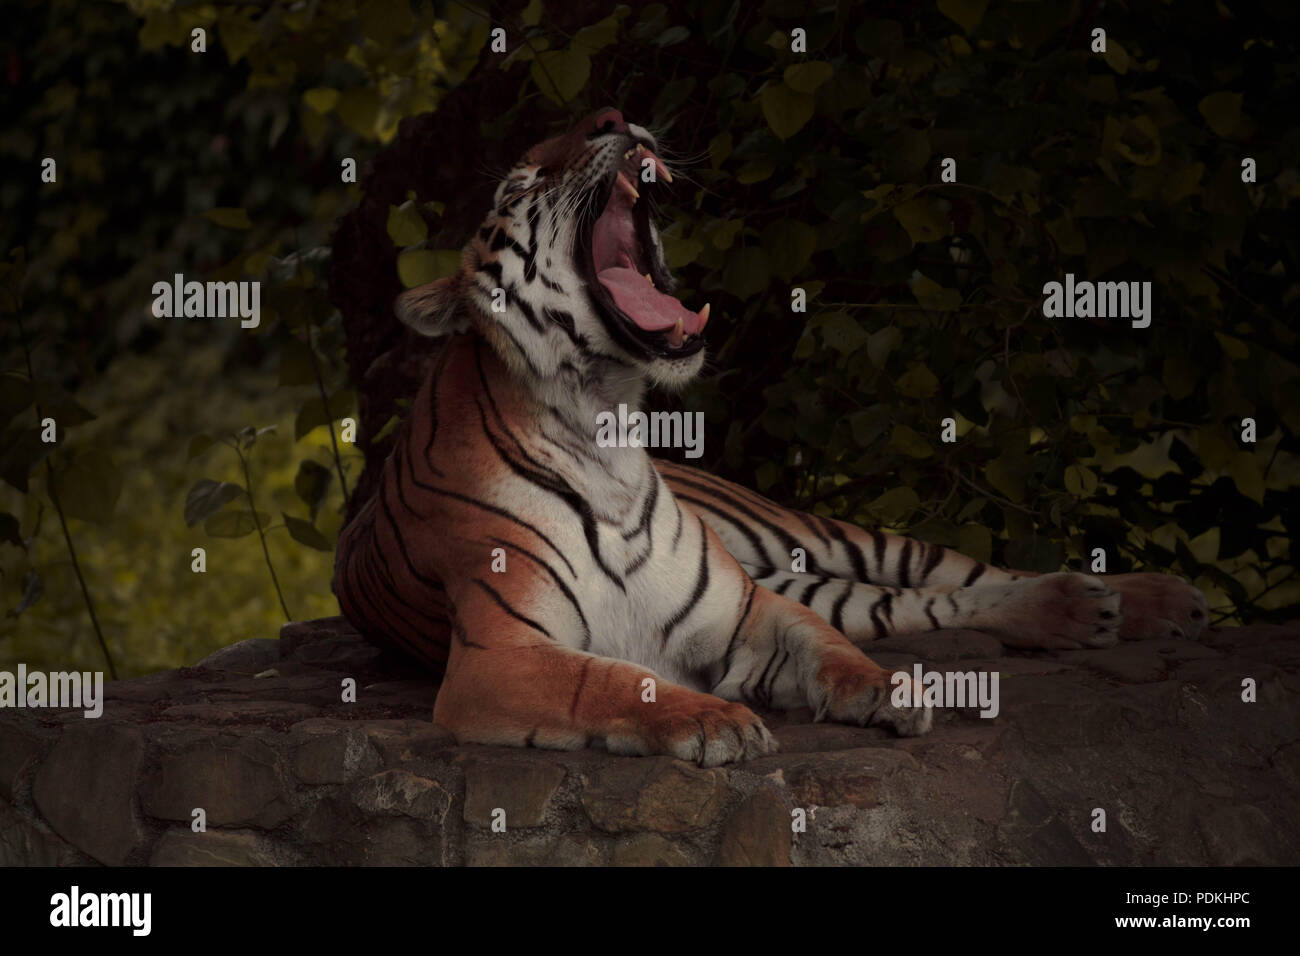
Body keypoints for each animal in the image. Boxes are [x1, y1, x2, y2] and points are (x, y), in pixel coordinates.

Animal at [332, 108, 1209, 766]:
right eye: (523, 183)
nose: (611, 116)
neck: (601, 423)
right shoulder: (501, 656)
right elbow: (608, 682)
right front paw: (713, 721)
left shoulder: (747, 606)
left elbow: (831, 648)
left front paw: (890, 690)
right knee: (916, 605)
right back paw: (1084, 612)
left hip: (811, 533)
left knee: (947, 575)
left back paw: (1142, 598)